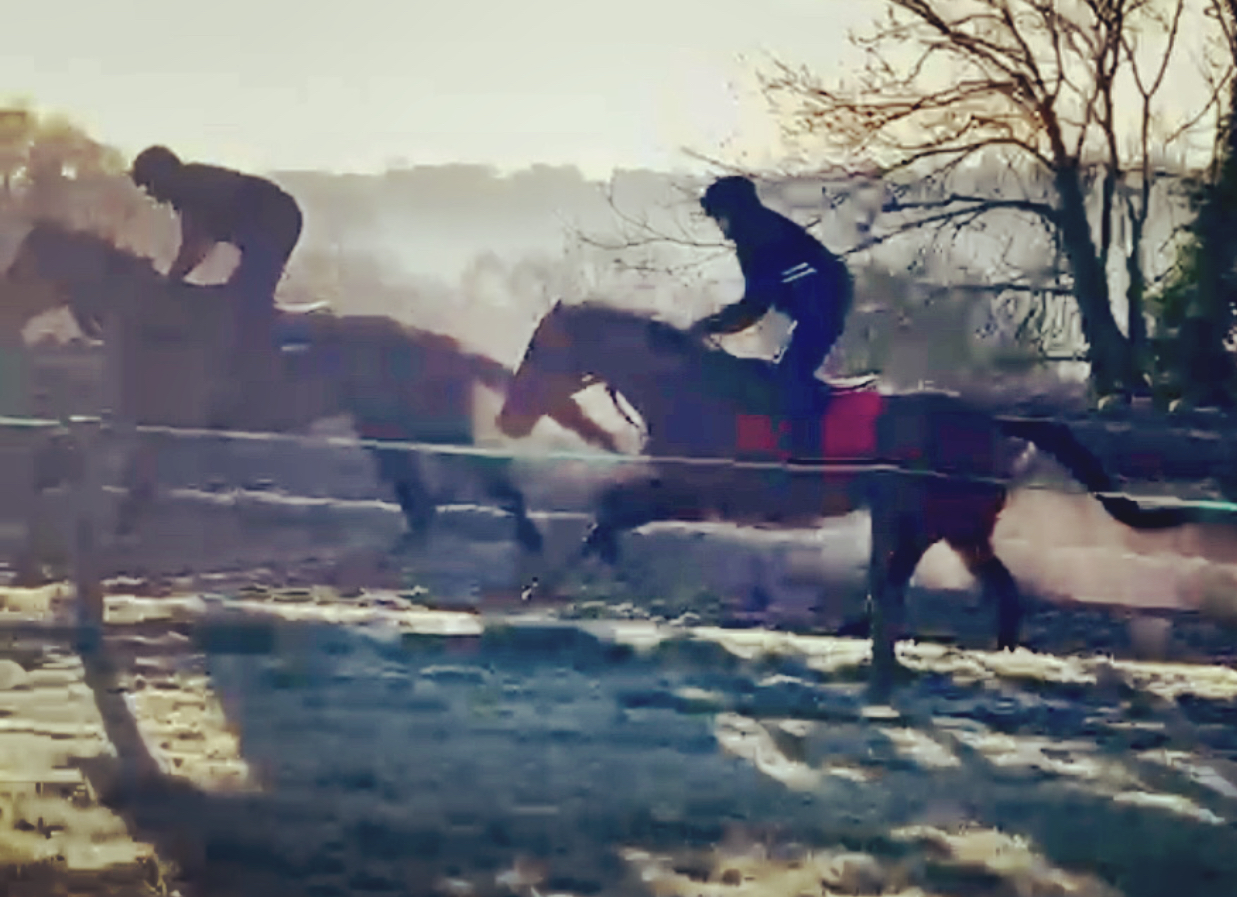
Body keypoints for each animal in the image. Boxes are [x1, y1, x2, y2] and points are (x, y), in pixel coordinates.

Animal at [1, 223, 620, 556]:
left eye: (30, 263)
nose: (9, 307)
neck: (148, 317)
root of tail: (436, 340)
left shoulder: (148, 419)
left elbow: (118, 475)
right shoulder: (136, 418)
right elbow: (87, 459)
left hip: (429, 427)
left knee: (483, 480)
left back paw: (527, 541)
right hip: (384, 433)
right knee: (423, 503)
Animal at [495, 300, 1203, 697]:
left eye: (539, 350)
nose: (508, 418)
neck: (686, 389)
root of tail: (998, 422)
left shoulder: (697, 491)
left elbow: (611, 507)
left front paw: (543, 588)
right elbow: (610, 509)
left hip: (937, 520)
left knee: (953, 585)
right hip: (946, 526)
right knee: (960, 583)